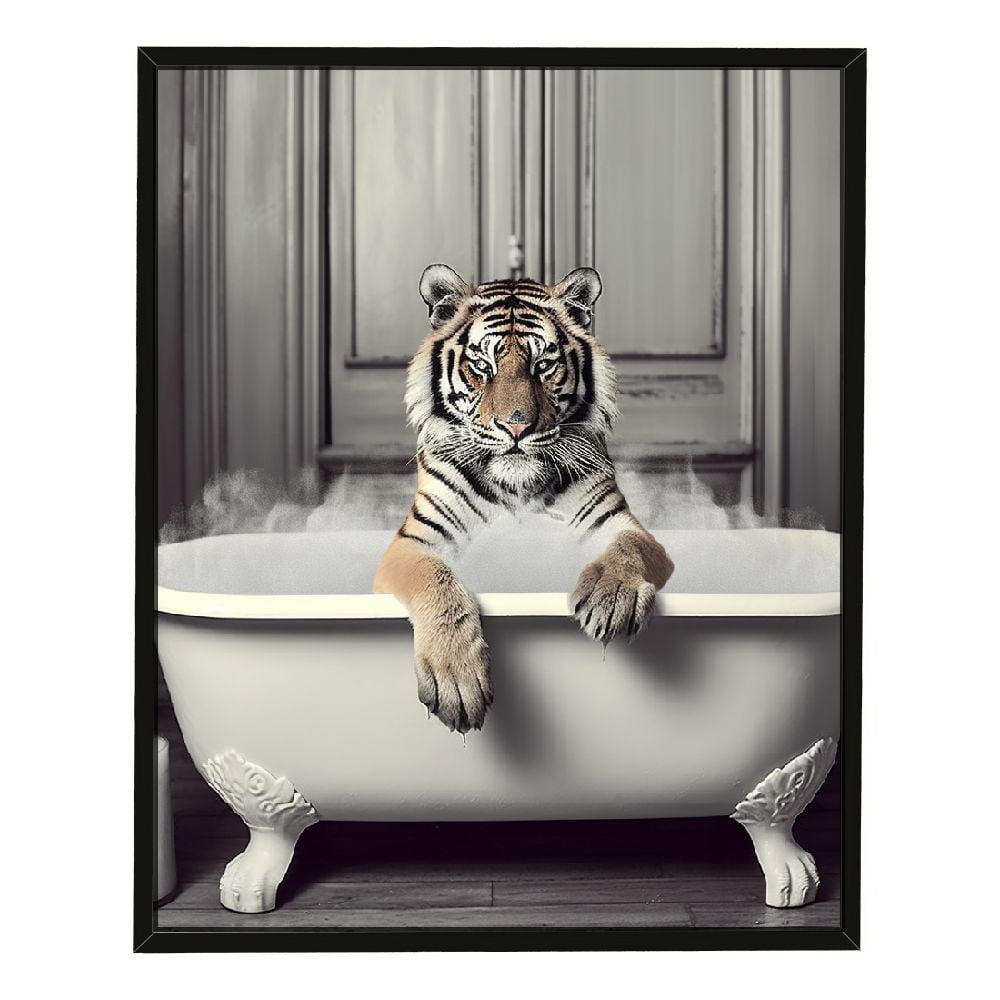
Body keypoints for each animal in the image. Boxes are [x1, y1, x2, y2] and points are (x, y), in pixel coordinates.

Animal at [373, 264, 674, 734]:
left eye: (543, 365)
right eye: (482, 365)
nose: (516, 427)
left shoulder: (623, 526)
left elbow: (628, 548)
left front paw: (610, 599)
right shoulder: (413, 544)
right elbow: (434, 578)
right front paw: (455, 677)